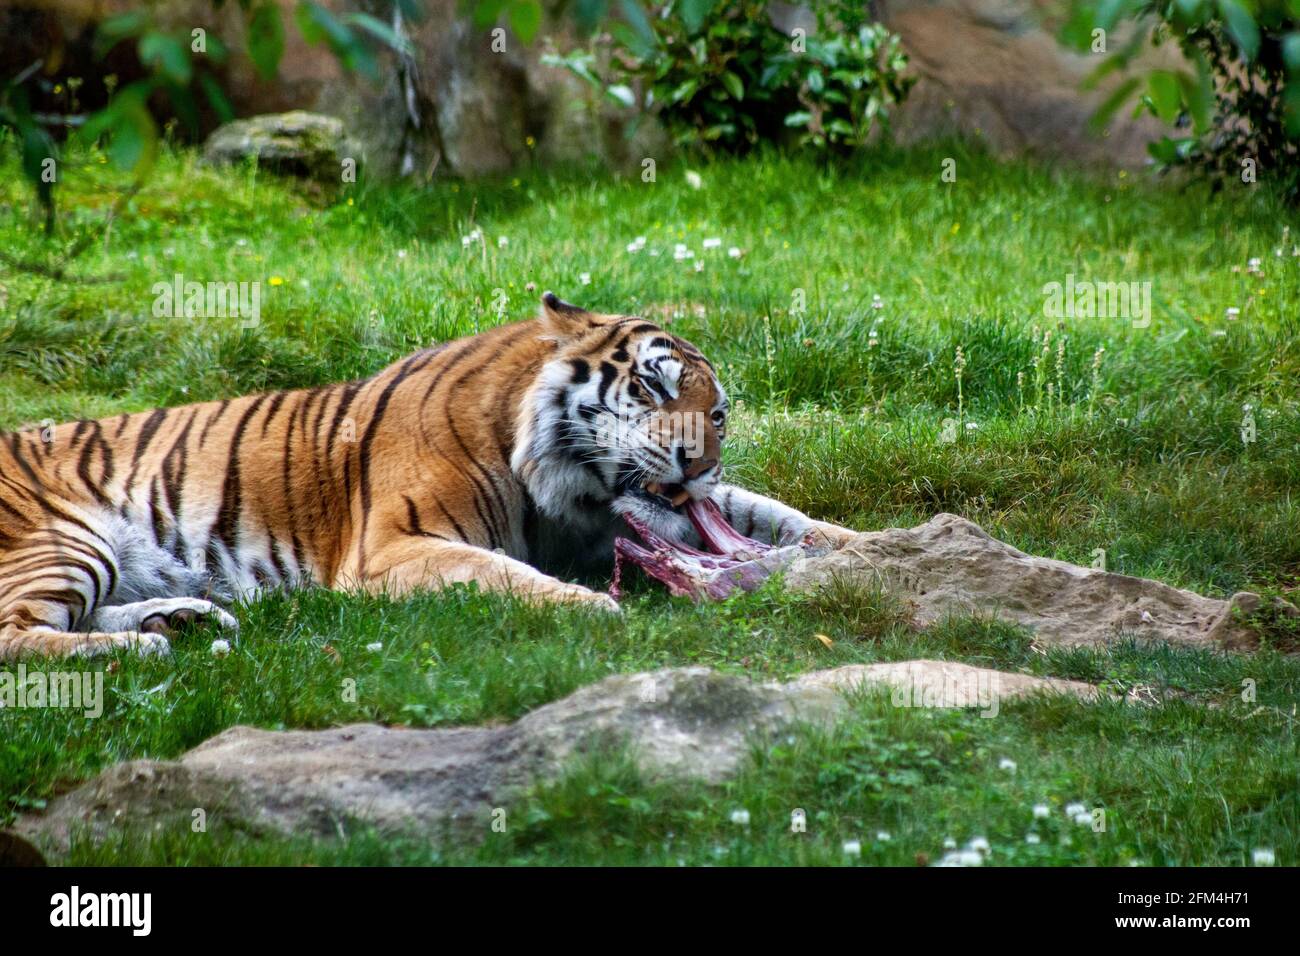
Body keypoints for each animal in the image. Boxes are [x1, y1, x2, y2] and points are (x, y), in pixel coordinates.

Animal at [0, 293, 856, 660]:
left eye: (718, 414)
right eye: (652, 387)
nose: (698, 462)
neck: (564, 485)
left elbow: (771, 511)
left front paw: (865, 545)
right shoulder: (393, 546)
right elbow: (501, 573)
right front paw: (592, 609)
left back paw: (179, 621)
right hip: (62, 539)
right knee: (17, 635)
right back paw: (142, 648)